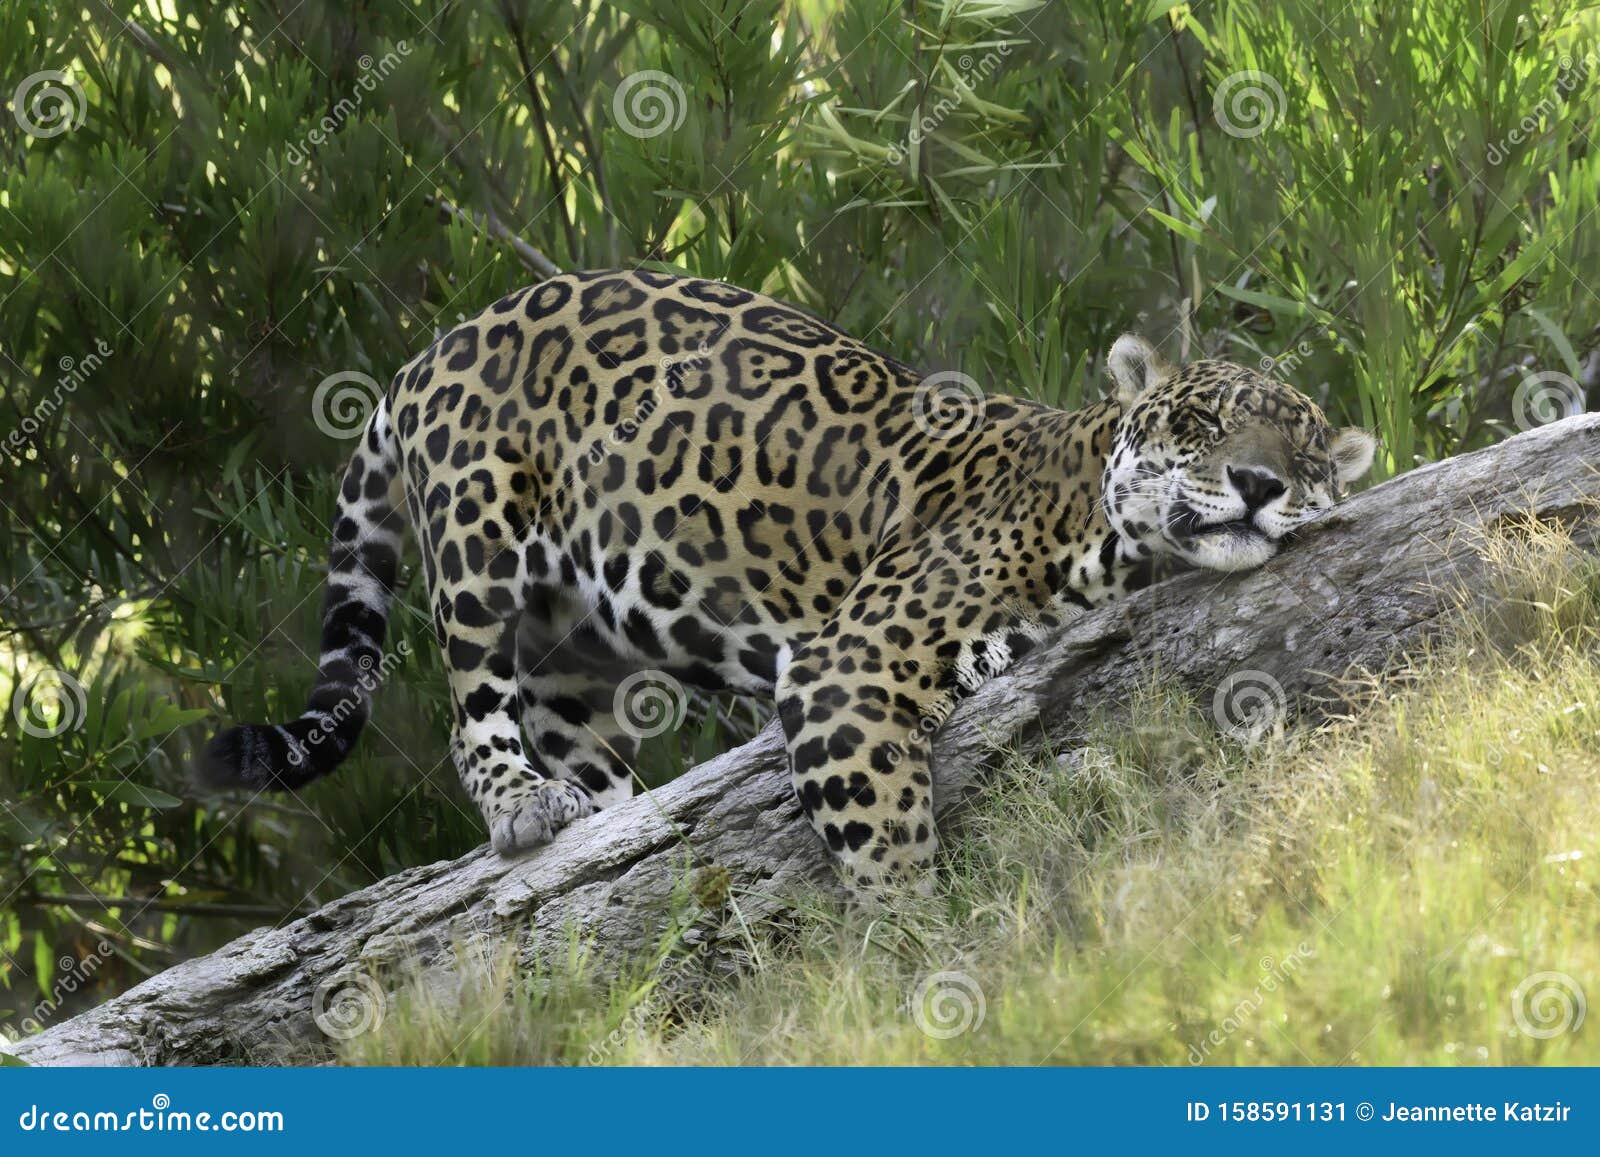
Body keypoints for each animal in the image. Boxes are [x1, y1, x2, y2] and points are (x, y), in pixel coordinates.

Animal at [199, 269, 1377, 891]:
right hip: (479, 528)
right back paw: (522, 803)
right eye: (1202, 421)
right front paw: (918, 956)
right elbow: (886, 839)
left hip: (579, 637)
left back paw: (606, 811)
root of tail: (434, 346)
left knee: (573, 726)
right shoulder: (848, 664)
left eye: (1308, 450)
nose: (1263, 483)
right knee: (472, 705)